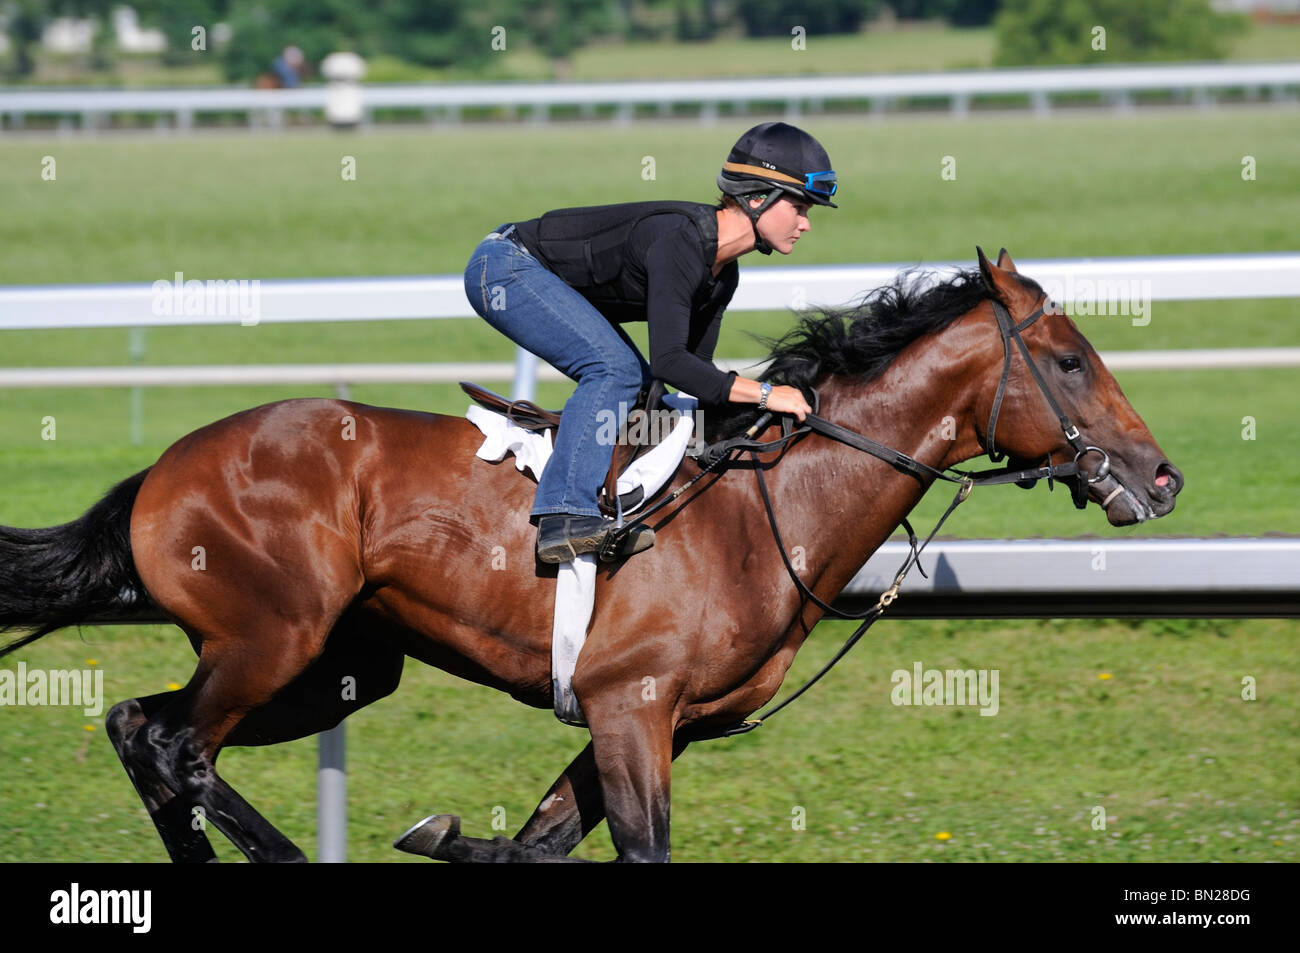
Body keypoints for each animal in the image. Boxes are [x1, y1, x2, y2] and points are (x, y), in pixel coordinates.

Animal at [0, 249, 1182, 862]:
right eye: (1070, 361)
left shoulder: (653, 718)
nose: (1161, 475)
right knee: (178, 745)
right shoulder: (631, 705)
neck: (763, 511)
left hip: (343, 661)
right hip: (271, 635)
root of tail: (163, 468)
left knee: (139, 724)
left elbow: (537, 842)